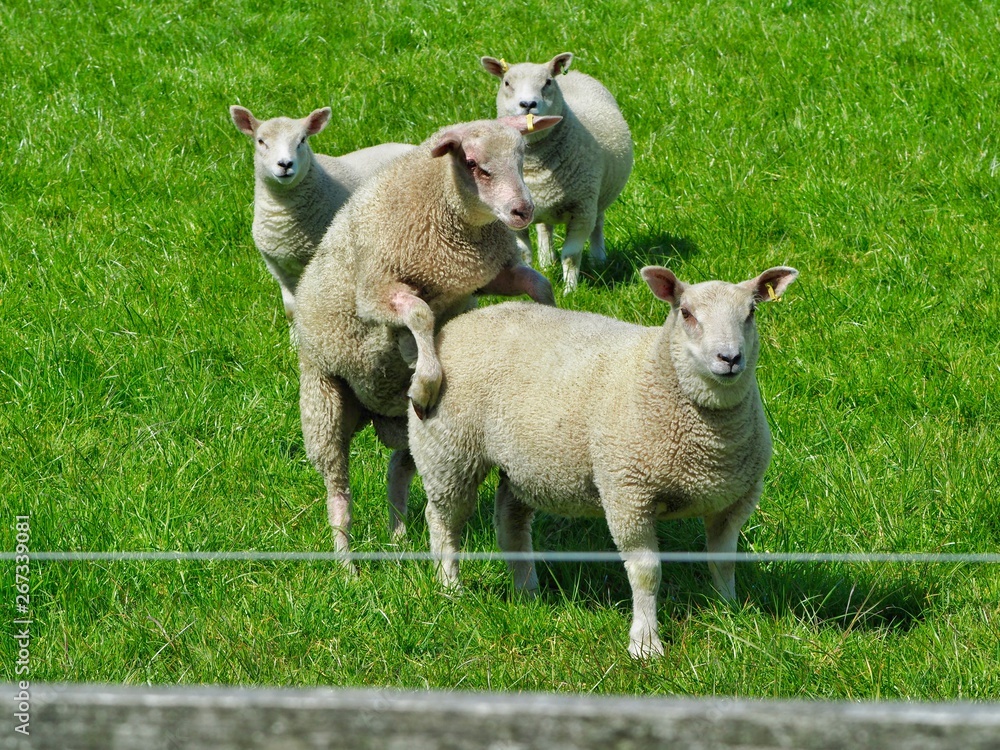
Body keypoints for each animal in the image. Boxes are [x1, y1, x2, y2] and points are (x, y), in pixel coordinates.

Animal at [293, 115, 561, 563]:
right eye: (473, 163)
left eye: (523, 156)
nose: (522, 211)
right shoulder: (376, 292)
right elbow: (420, 314)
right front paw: (426, 379)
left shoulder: (488, 275)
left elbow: (537, 282)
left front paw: (550, 319)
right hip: (323, 399)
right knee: (337, 490)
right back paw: (347, 562)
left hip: (409, 426)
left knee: (397, 468)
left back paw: (398, 536)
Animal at [408, 265, 799, 658]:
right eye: (686, 313)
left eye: (751, 312)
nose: (729, 359)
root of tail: (461, 322)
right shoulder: (628, 494)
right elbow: (646, 572)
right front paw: (646, 643)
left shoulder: (735, 500)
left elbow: (724, 560)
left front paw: (728, 614)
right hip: (447, 450)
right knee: (443, 520)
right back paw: (449, 587)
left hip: (525, 465)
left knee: (510, 521)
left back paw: (527, 591)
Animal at [481, 52, 634, 293]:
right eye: (506, 83)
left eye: (547, 82)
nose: (528, 104)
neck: (535, 164)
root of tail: (576, 73)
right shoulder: (512, 214)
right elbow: (524, 252)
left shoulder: (582, 209)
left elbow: (571, 255)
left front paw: (570, 291)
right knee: (545, 228)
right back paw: (546, 261)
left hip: (598, 197)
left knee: (597, 225)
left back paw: (598, 260)